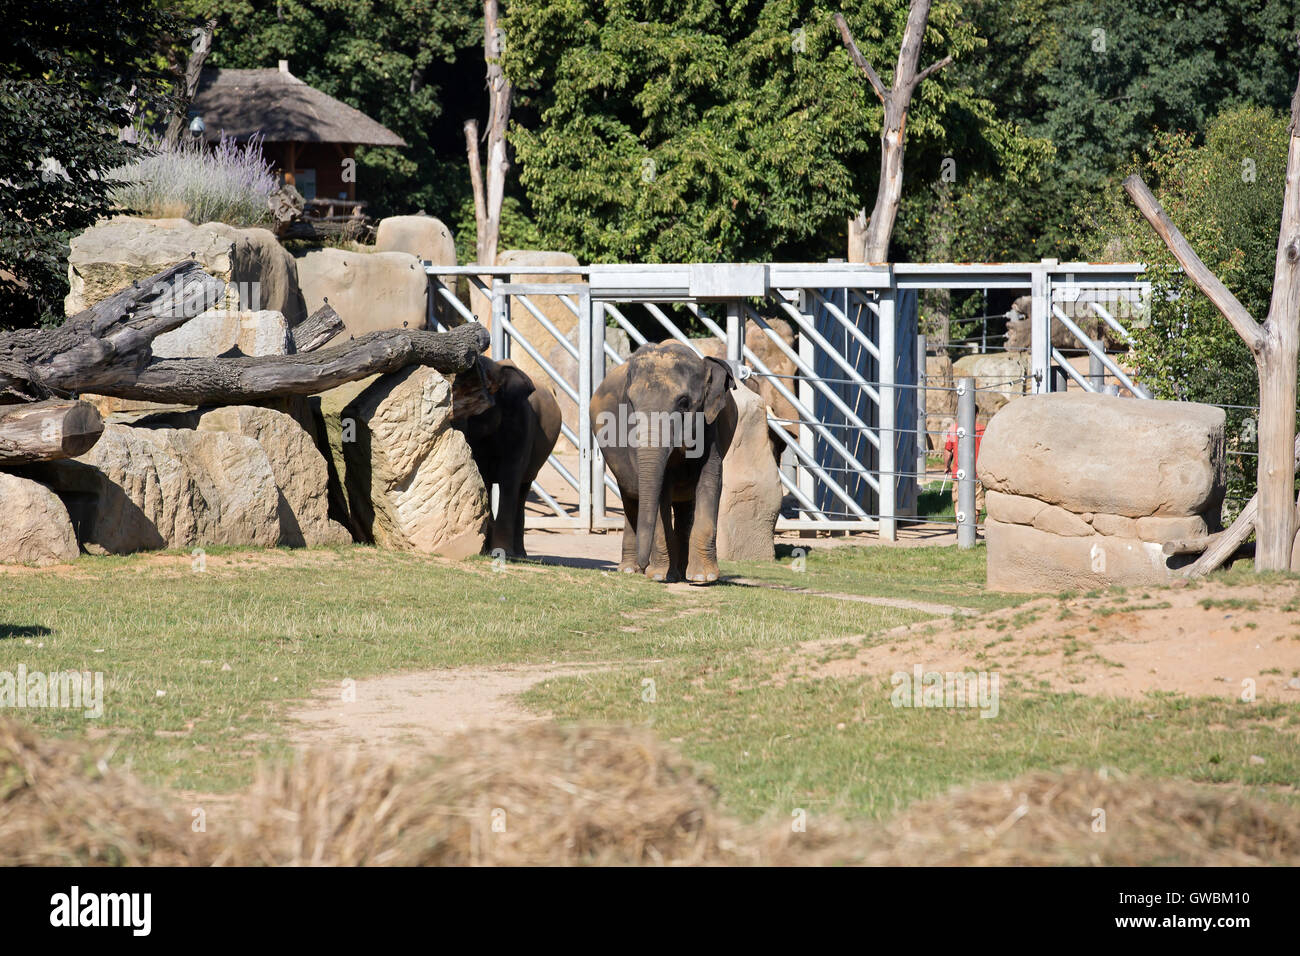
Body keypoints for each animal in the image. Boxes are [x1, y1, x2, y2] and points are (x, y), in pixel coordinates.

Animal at [450, 356, 561, 558]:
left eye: (475, 399)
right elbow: (483, 479)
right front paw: (486, 551)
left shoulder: (521, 425)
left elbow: (509, 480)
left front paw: (501, 553)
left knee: (522, 491)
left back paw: (519, 555)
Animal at [590, 341, 737, 584]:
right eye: (630, 403)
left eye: (684, 403)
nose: (644, 566)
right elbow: (660, 491)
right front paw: (660, 575)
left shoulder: (710, 427)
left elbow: (710, 481)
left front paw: (702, 577)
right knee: (631, 499)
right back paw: (630, 569)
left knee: (684, 506)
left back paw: (683, 573)